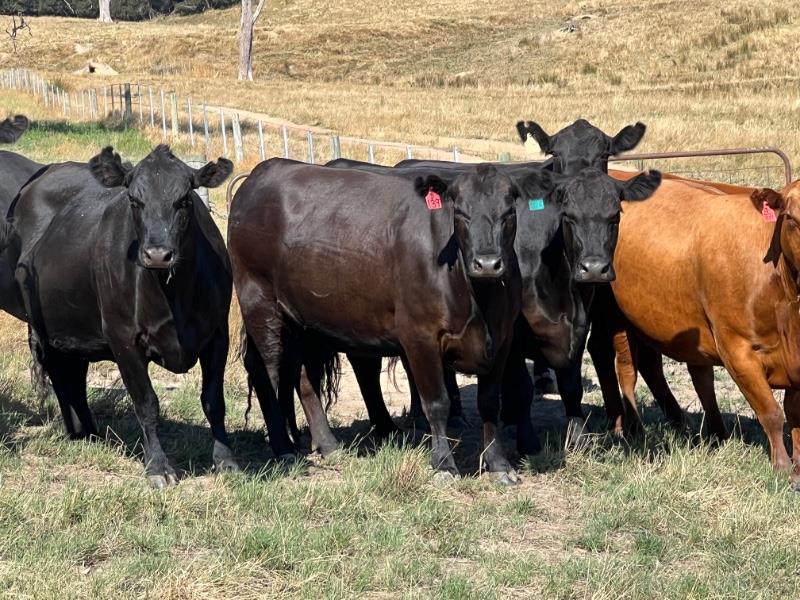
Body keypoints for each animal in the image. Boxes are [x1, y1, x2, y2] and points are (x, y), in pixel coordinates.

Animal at [8, 145, 239, 488]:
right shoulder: (123, 339)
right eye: (134, 200)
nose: (157, 254)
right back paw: (80, 432)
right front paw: (158, 467)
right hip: (46, 329)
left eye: (184, 199)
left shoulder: (217, 334)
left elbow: (213, 400)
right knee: (61, 374)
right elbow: (147, 404)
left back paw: (87, 433)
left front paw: (226, 460)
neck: (173, 294)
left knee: (72, 375)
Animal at [229, 159, 525, 477]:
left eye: (509, 212)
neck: (478, 299)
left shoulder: (503, 338)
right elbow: (437, 403)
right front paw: (444, 464)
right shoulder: (419, 336)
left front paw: (499, 465)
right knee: (267, 370)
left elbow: (489, 402)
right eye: (459, 212)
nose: (487, 263)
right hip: (259, 300)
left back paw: (328, 444)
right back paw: (283, 447)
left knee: (303, 375)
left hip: (303, 319)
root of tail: (263, 171)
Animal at [598, 178, 800, 488]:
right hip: (614, 315)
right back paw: (632, 429)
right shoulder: (737, 350)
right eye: (791, 218)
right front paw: (783, 468)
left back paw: (701, 428)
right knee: (625, 368)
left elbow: (795, 413)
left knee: (672, 370)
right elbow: (772, 413)